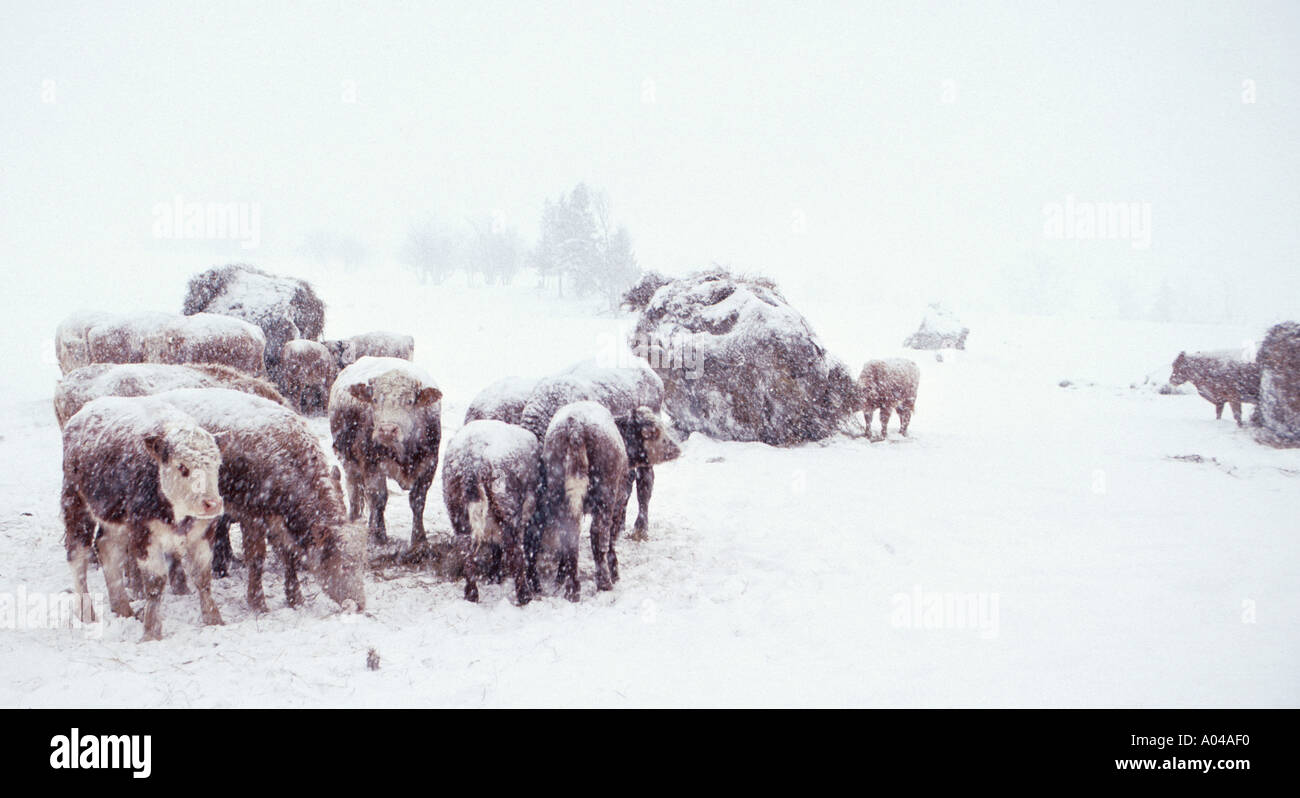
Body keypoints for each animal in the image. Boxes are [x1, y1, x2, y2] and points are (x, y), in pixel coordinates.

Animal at [61, 396, 225, 641]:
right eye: (182, 466)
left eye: (217, 464)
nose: (212, 503)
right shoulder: (144, 533)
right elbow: (156, 583)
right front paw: (151, 632)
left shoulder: (203, 532)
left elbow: (203, 577)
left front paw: (214, 620)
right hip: (76, 505)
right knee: (78, 556)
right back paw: (86, 613)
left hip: (116, 520)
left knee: (107, 548)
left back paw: (122, 607)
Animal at [154, 389, 366, 613]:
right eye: (344, 565)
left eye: (362, 564)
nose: (359, 604)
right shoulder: (252, 518)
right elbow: (256, 558)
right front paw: (257, 602)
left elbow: (289, 556)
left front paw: (296, 598)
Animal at [329, 357, 442, 551]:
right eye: (374, 399)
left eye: (410, 401)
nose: (387, 430)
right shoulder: (372, 464)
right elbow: (378, 499)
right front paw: (378, 537)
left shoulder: (429, 464)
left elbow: (418, 502)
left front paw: (420, 539)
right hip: (348, 460)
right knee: (354, 489)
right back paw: (355, 518)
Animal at [442, 420, 541, 605]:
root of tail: (472, 460)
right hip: (507, 503)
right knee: (514, 551)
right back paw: (524, 595)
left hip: (456, 507)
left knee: (466, 549)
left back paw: (471, 593)